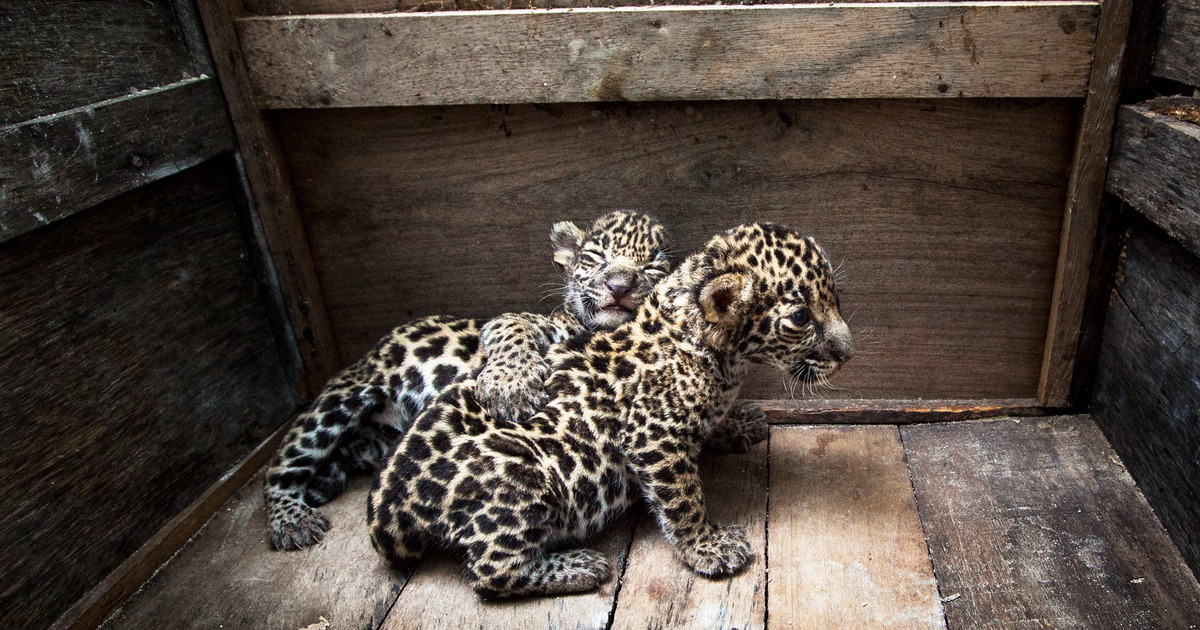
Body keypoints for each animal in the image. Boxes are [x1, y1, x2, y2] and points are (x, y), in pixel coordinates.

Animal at [265, 210, 672, 550]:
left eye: (652, 267)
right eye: (596, 257)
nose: (619, 285)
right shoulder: (520, 321)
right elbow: (511, 327)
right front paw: (509, 387)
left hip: (376, 441)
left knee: (347, 451)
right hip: (343, 397)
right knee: (283, 465)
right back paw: (290, 520)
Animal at [367, 222, 854, 598]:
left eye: (836, 302)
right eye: (801, 318)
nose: (848, 353)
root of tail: (388, 508)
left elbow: (713, 424)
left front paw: (739, 423)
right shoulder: (652, 435)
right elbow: (683, 499)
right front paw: (707, 546)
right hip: (520, 479)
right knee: (491, 573)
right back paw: (581, 567)